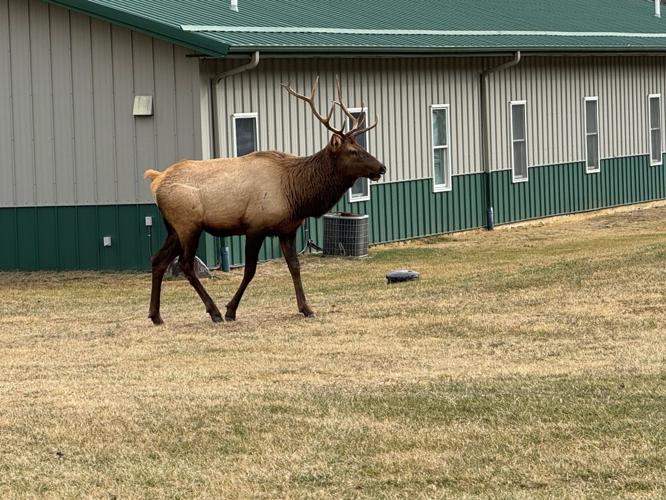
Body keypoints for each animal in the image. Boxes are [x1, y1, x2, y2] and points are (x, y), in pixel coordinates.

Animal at [144, 77, 386, 325]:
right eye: (352, 151)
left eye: (361, 146)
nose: (382, 167)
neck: (297, 195)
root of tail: (156, 180)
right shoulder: (255, 226)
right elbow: (250, 270)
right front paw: (231, 310)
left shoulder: (287, 229)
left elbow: (295, 266)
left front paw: (306, 308)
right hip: (188, 225)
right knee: (185, 264)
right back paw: (214, 311)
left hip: (173, 229)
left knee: (157, 259)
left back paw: (156, 315)